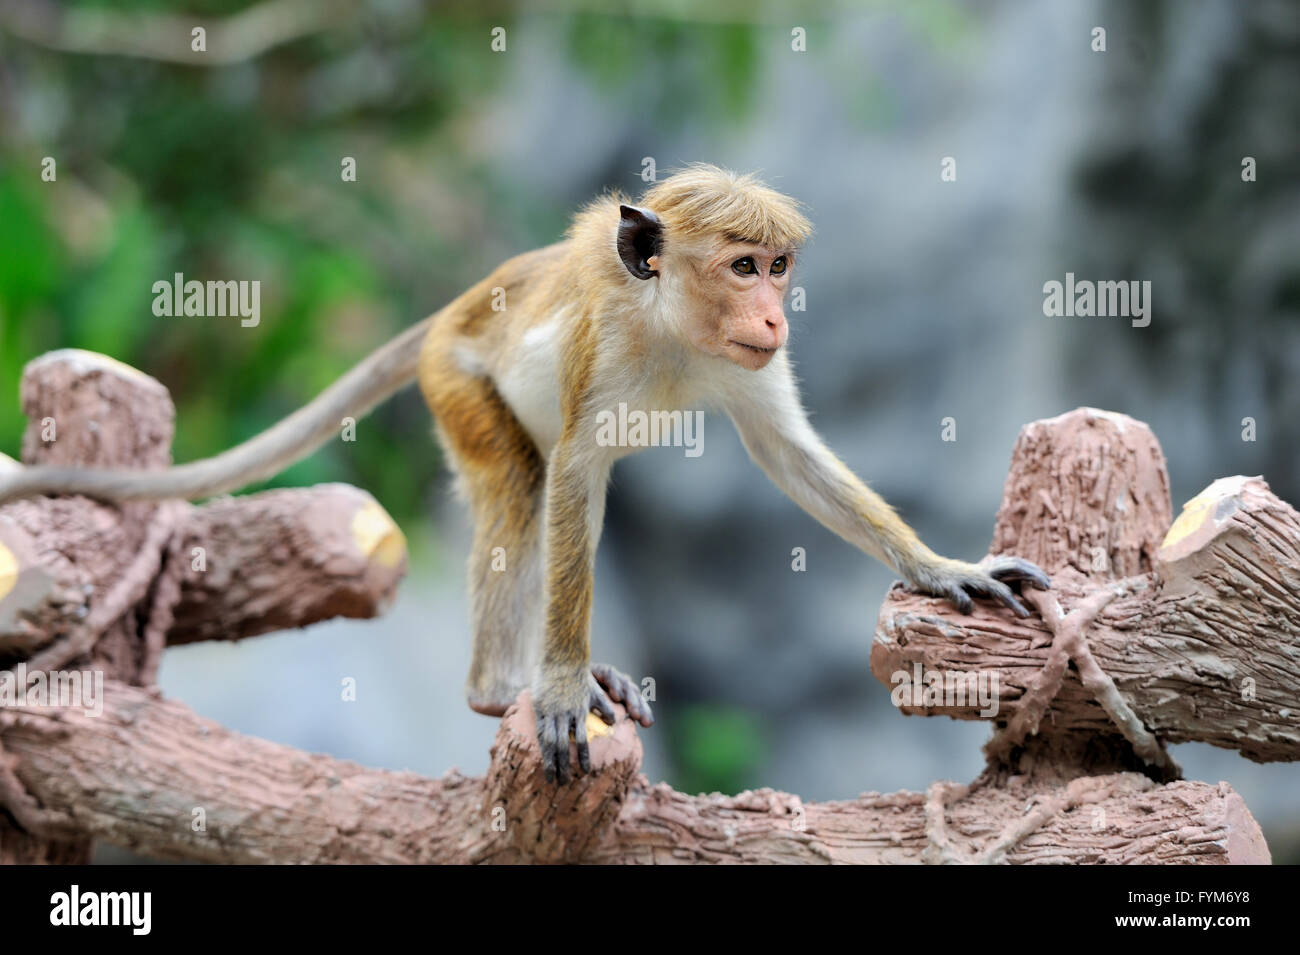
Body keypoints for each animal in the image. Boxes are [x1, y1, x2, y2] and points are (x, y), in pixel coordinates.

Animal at [0, 165, 1049, 783]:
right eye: (744, 265)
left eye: (779, 265)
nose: (775, 316)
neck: (673, 328)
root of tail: (446, 318)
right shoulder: (608, 345)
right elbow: (579, 474)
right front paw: (557, 691)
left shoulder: (746, 367)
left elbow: (785, 453)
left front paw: (943, 567)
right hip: (455, 384)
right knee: (524, 483)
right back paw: (499, 686)